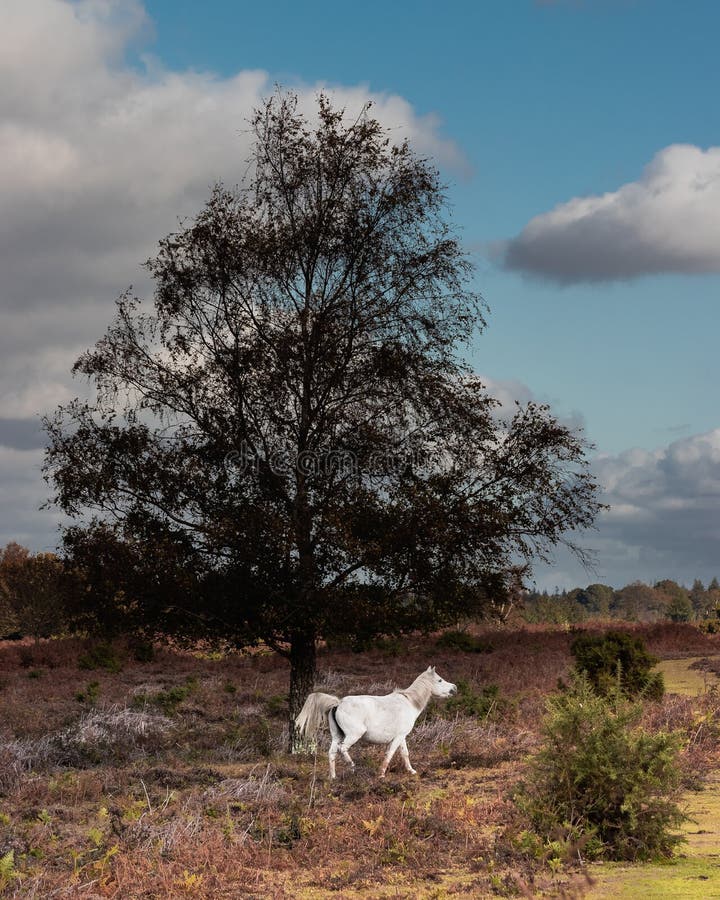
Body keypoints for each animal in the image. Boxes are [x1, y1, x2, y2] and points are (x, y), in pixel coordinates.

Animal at [295, 666, 457, 778]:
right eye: (439, 680)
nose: (454, 688)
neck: (409, 703)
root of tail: (338, 703)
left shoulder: (402, 737)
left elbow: (405, 754)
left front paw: (411, 771)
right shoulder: (398, 737)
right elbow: (390, 753)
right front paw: (381, 774)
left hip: (336, 736)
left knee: (332, 753)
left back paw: (333, 777)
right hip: (353, 735)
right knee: (343, 749)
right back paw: (353, 767)